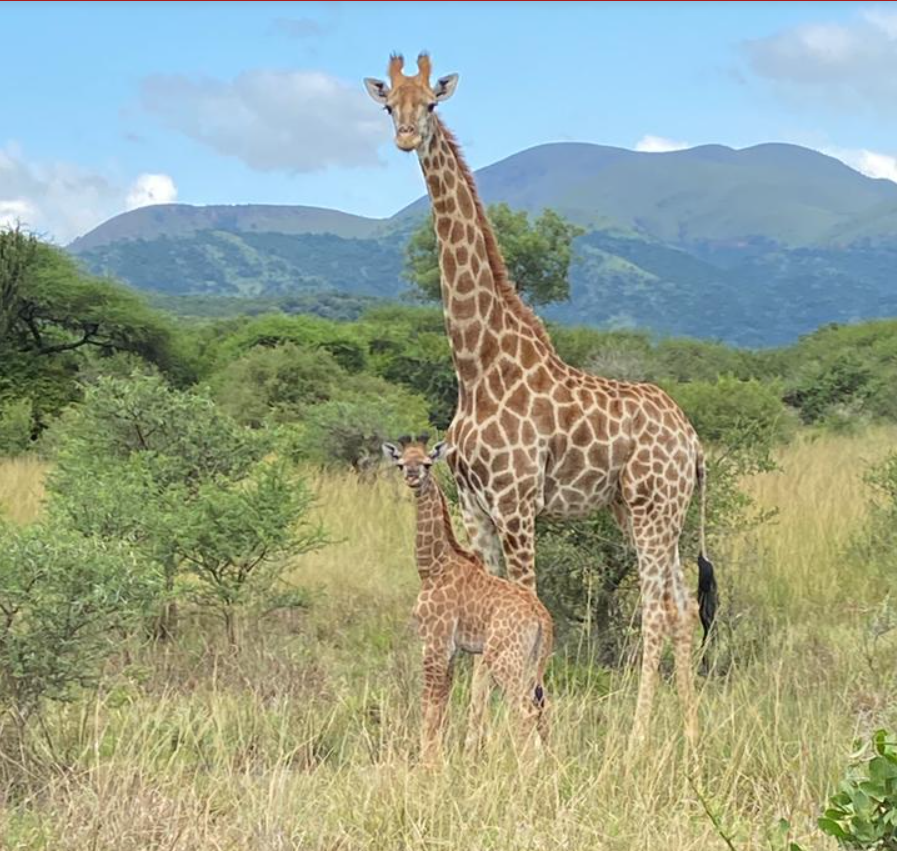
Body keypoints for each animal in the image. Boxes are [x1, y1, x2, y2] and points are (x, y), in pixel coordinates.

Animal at [382, 434, 553, 764]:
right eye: (400, 463)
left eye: (426, 463)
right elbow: (441, 707)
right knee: (541, 707)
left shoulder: (434, 642)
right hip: (531, 663)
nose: (412, 477)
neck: (433, 565)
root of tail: (543, 618)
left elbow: (429, 706)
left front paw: (429, 764)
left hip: (505, 659)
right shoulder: (452, 650)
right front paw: (437, 759)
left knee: (524, 711)